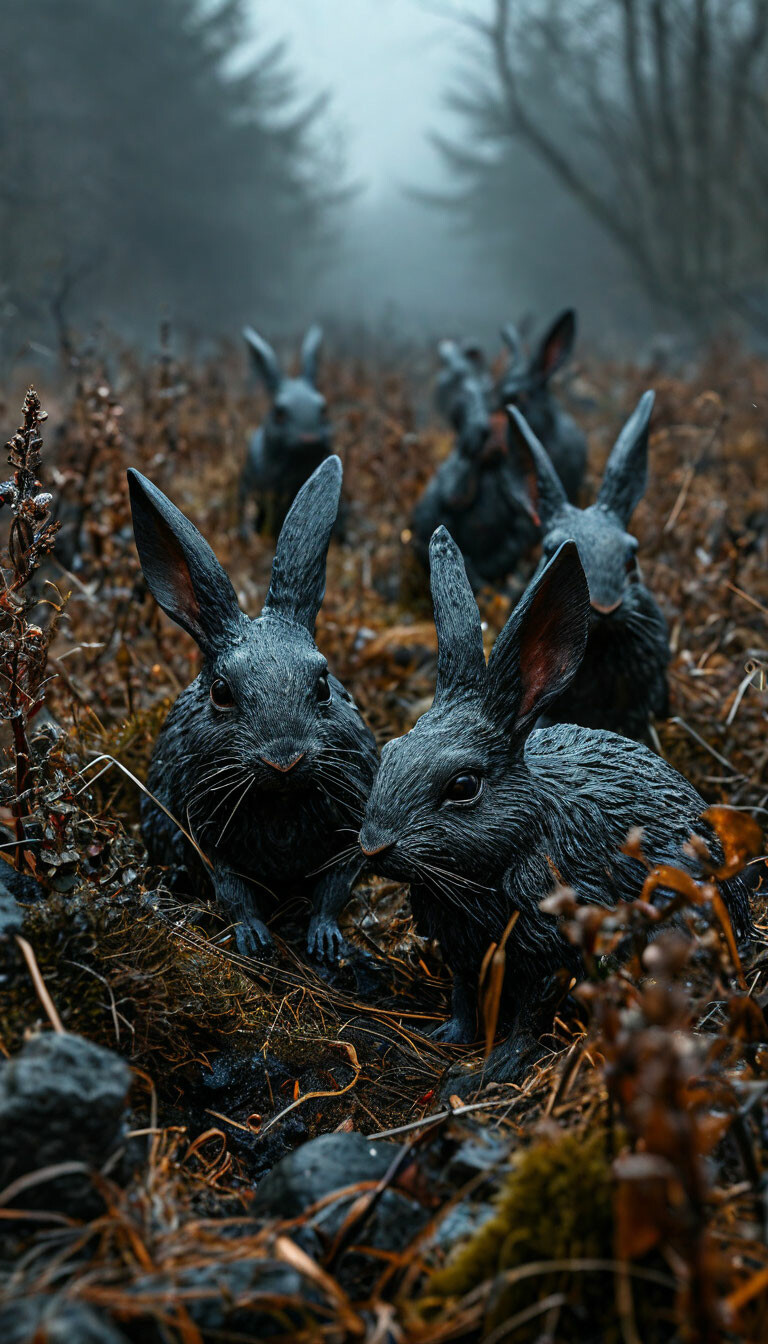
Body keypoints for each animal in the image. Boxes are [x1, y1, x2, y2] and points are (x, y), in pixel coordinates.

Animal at [129, 455, 378, 961]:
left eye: (322, 683)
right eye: (221, 692)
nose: (285, 759)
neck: (279, 800)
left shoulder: (353, 826)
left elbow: (334, 889)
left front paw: (325, 942)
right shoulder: (199, 834)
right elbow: (232, 890)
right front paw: (254, 939)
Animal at [358, 530, 756, 1084]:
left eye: (464, 785)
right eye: (390, 750)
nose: (372, 845)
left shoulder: (554, 944)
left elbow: (531, 1014)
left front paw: (493, 1069)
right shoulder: (462, 952)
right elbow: (463, 997)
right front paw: (446, 1038)